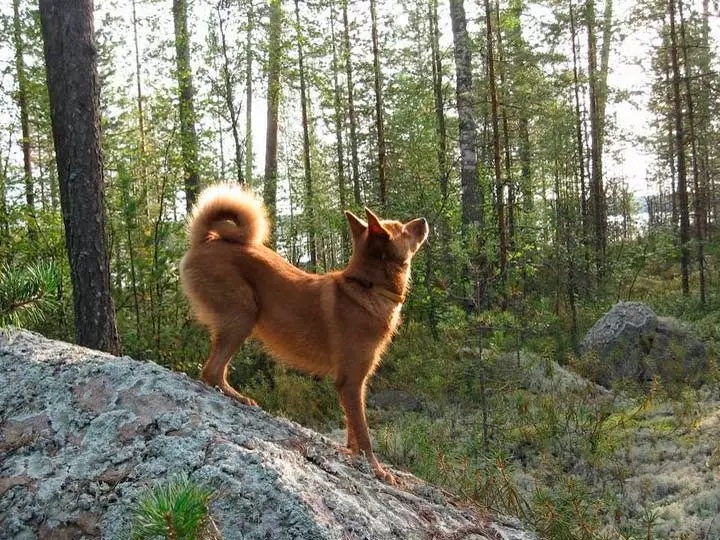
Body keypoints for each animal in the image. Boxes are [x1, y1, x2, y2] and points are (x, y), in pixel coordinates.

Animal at [180, 184, 428, 484]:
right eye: (403, 229)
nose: (423, 220)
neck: (367, 287)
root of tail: (207, 239)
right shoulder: (351, 382)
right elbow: (364, 433)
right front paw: (377, 470)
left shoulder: (352, 385)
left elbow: (352, 430)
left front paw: (353, 456)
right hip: (242, 316)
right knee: (211, 371)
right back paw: (238, 397)